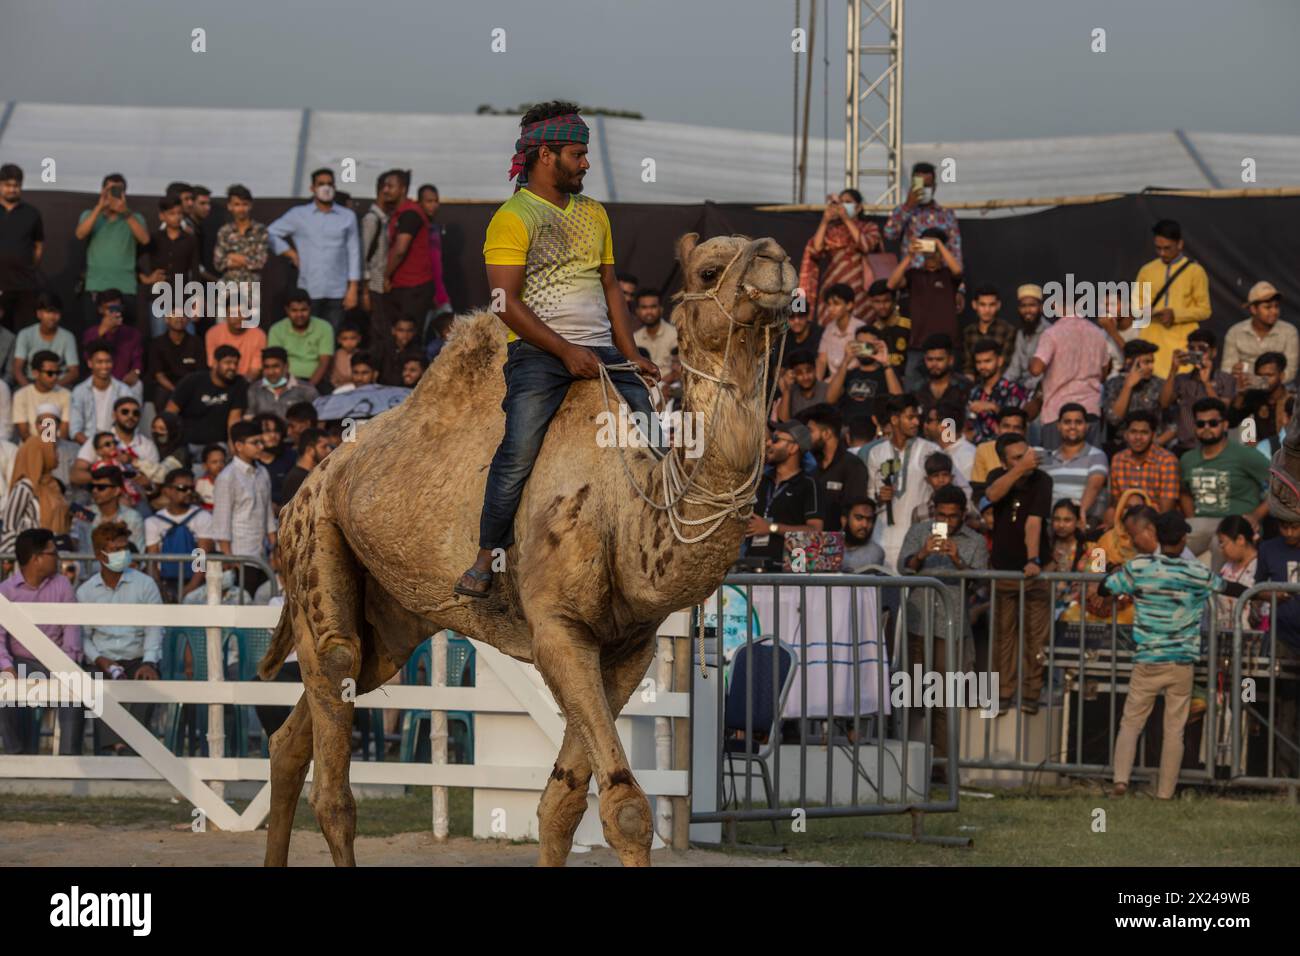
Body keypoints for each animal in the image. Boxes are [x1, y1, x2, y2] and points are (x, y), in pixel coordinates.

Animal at [257, 233, 797, 866]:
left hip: (390, 621)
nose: (776, 257)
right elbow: (627, 809)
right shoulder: (557, 632)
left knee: (295, 735)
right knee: (335, 745)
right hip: (316, 547)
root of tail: (307, 485)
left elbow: (562, 804)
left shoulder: (629, 649)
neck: (626, 514)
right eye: (710, 269)